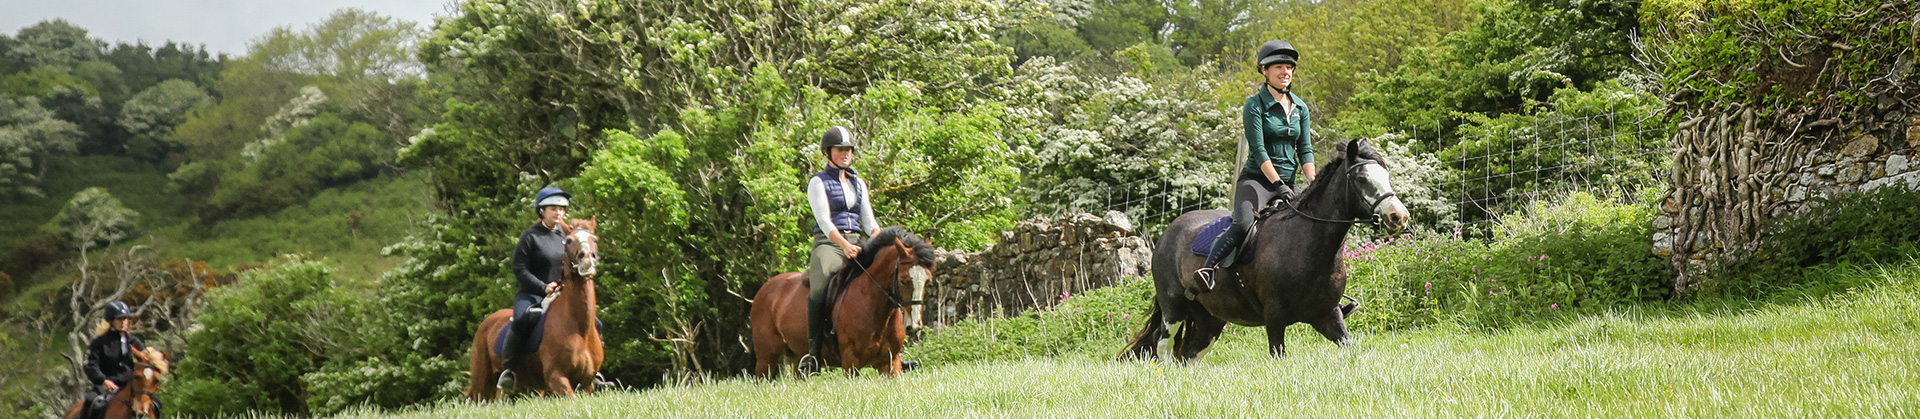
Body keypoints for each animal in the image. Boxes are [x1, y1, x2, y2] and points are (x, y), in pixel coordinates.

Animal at [468, 218, 603, 400]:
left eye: (594, 239)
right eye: (569, 241)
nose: (587, 259)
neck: (578, 328)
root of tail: (488, 321)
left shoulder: (587, 382)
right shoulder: (556, 377)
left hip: (533, 388)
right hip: (481, 380)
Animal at [751, 226, 937, 379]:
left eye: (928, 281)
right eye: (903, 281)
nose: (914, 325)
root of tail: (764, 289)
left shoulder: (891, 364)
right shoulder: (851, 363)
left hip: (795, 357)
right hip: (766, 359)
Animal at [1120, 139, 1409, 361]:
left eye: (1387, 176)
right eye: (1361, 179)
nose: (1399, 217)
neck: (1308, 246)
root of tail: (1168, 233)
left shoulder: (1327, 315)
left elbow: (1349, 348)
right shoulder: (1275, 316)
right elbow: (1277, 354)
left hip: (1209, 320)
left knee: (1190, 354)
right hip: (1174, 307)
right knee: (1162, 347)